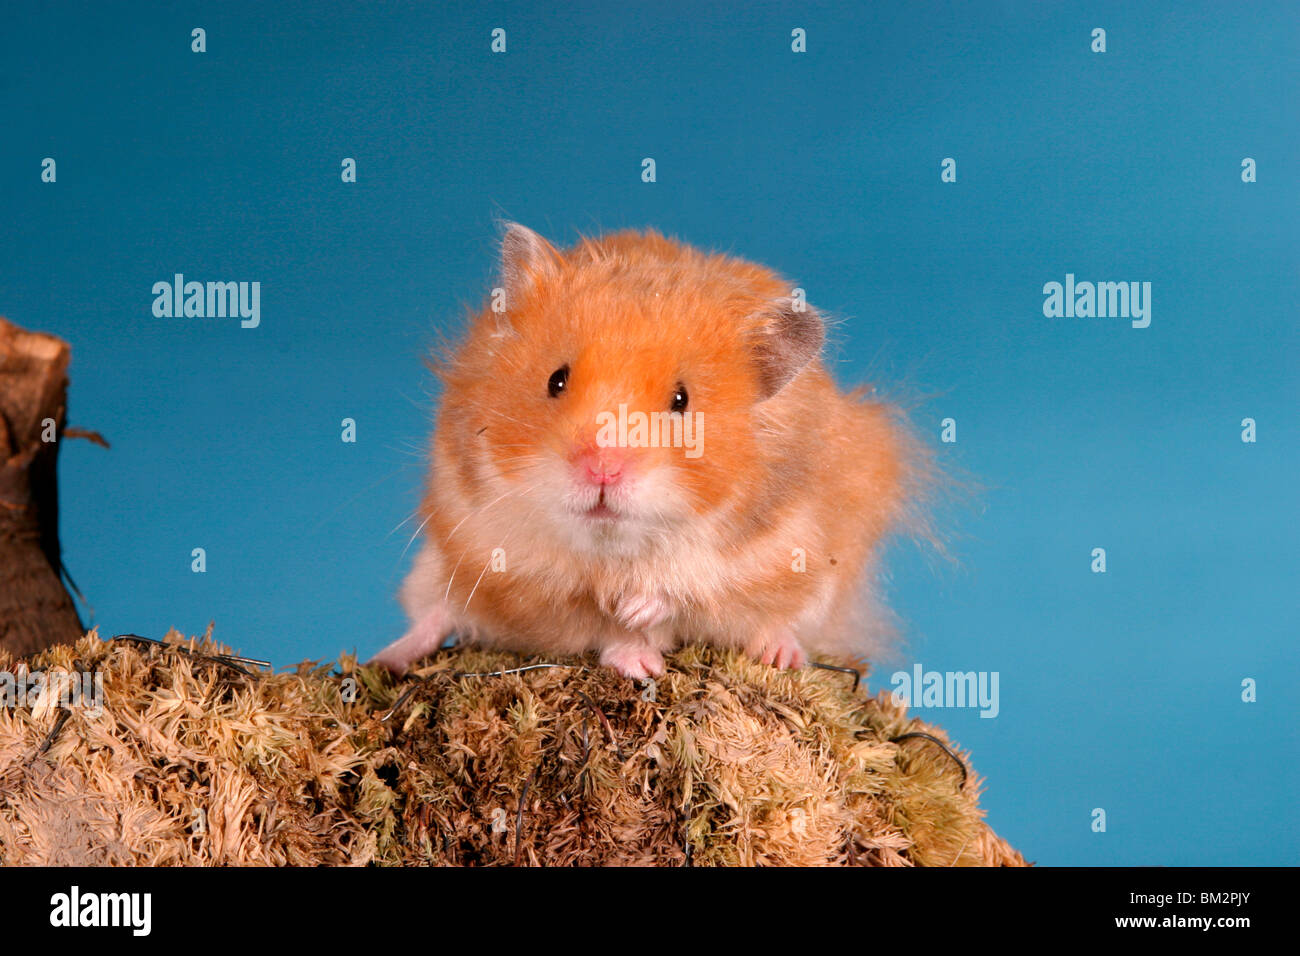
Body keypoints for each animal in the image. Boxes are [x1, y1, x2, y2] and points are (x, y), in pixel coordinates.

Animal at [371, 223, 929, 679]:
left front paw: (637, 608)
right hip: (432, 568)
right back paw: (388, 660)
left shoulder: (779, 543)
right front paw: (624, 627)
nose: (601, 470)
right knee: (436, 611)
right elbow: (573, 601)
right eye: (556, 380)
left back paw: (776, 654)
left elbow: (695, 584)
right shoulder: (481, 528)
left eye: (682, 400)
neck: (616, 547)